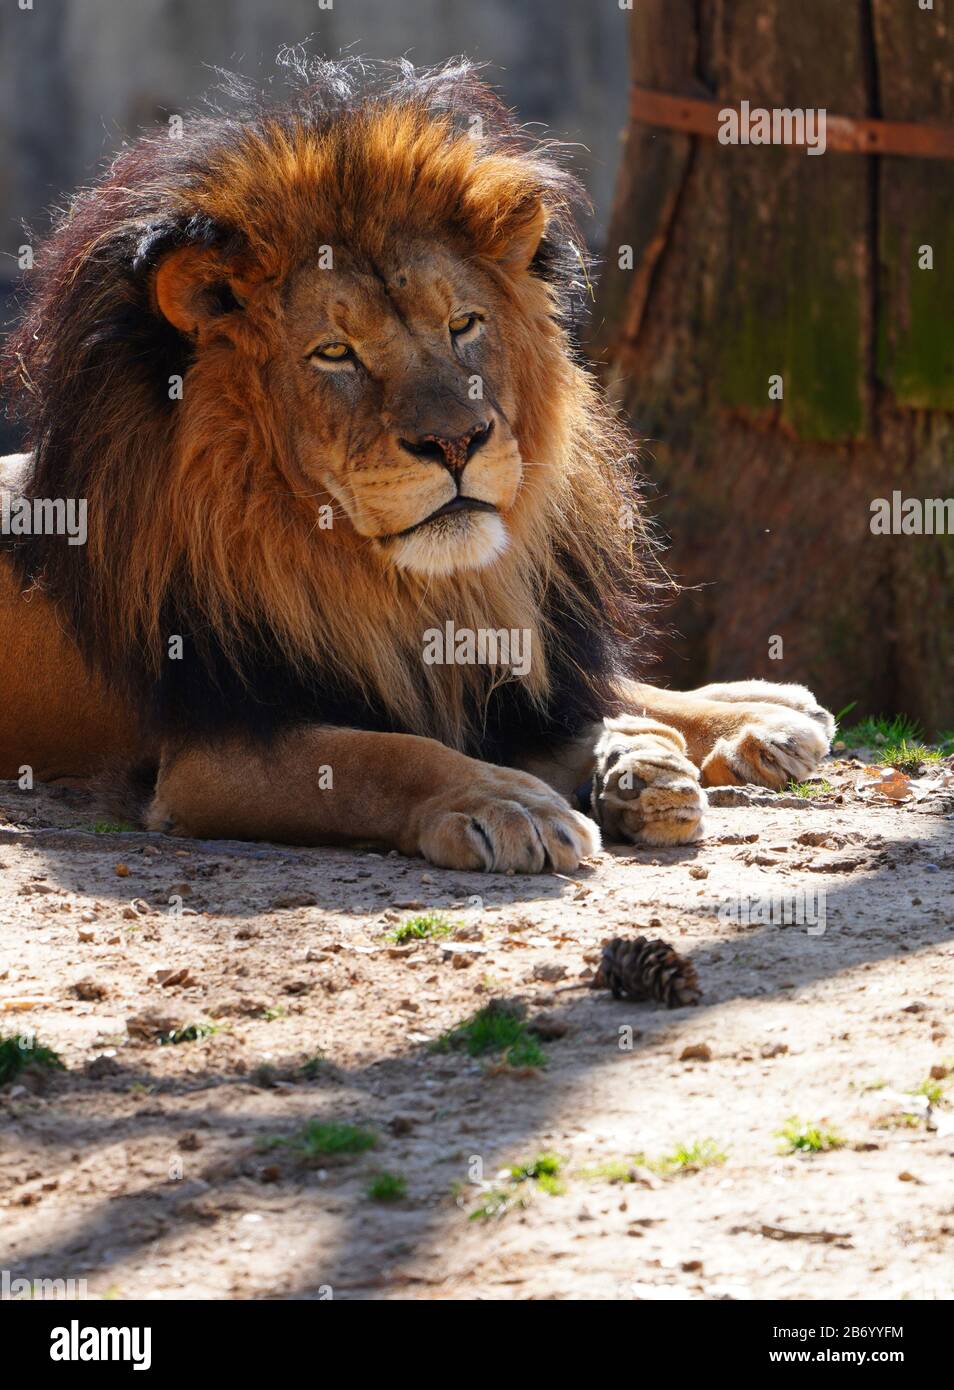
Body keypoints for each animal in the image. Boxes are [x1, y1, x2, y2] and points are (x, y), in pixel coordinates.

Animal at [0, 57, 833, 873]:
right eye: (335, 353)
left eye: (463, 324)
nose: (459, 441)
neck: (394, 586)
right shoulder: (212, 749)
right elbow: (383, 757)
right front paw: (510, 803)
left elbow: (561, 699)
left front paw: (646, 757)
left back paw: (765, 714)